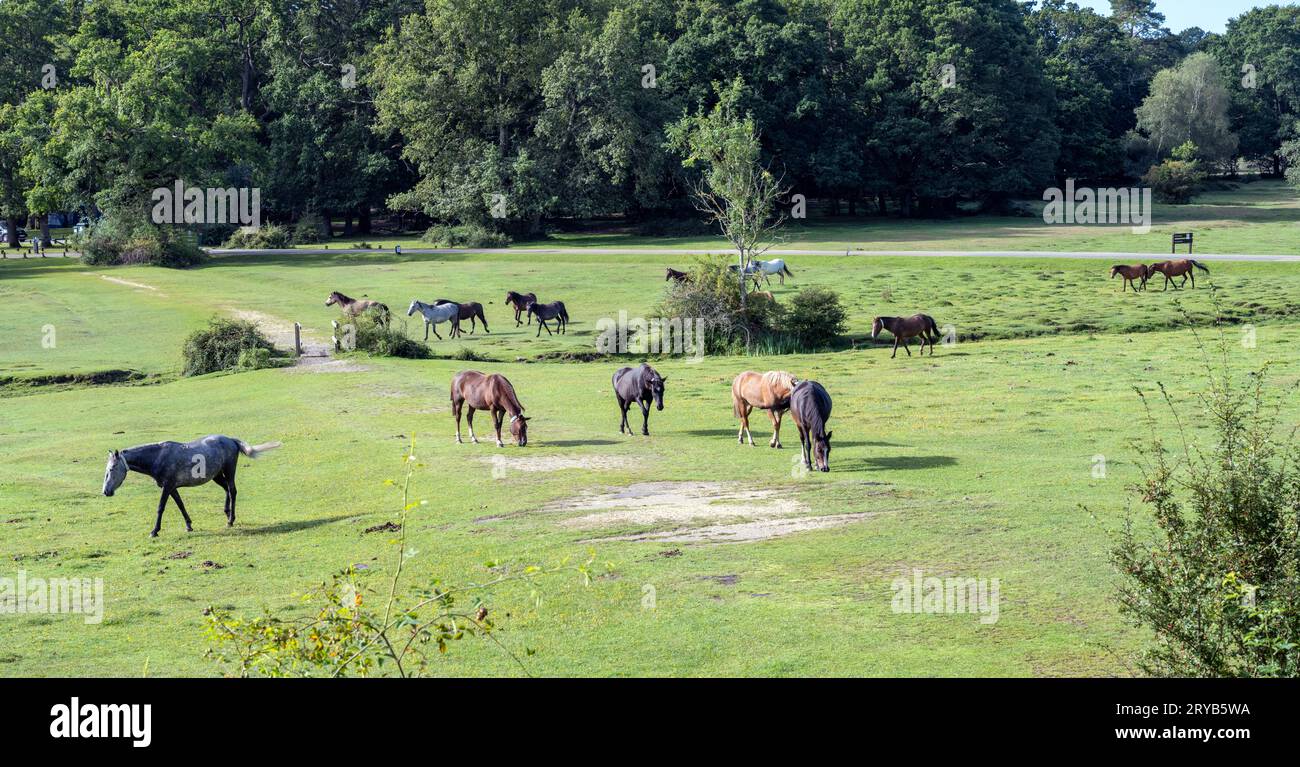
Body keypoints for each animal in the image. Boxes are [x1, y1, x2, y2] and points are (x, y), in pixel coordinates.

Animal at [102, 435, 281, 537]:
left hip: (229, 470)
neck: (157, 457)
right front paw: (189, 526)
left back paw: (230, 520)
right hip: (216, 475)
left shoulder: (167, 487)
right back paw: (227, 513)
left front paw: (154, 531)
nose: (105, 491)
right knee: (227, 490)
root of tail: (231, 440)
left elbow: (160, 508)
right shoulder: (172, 487)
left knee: (232, 490)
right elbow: (181, 505)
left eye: (111, 469)